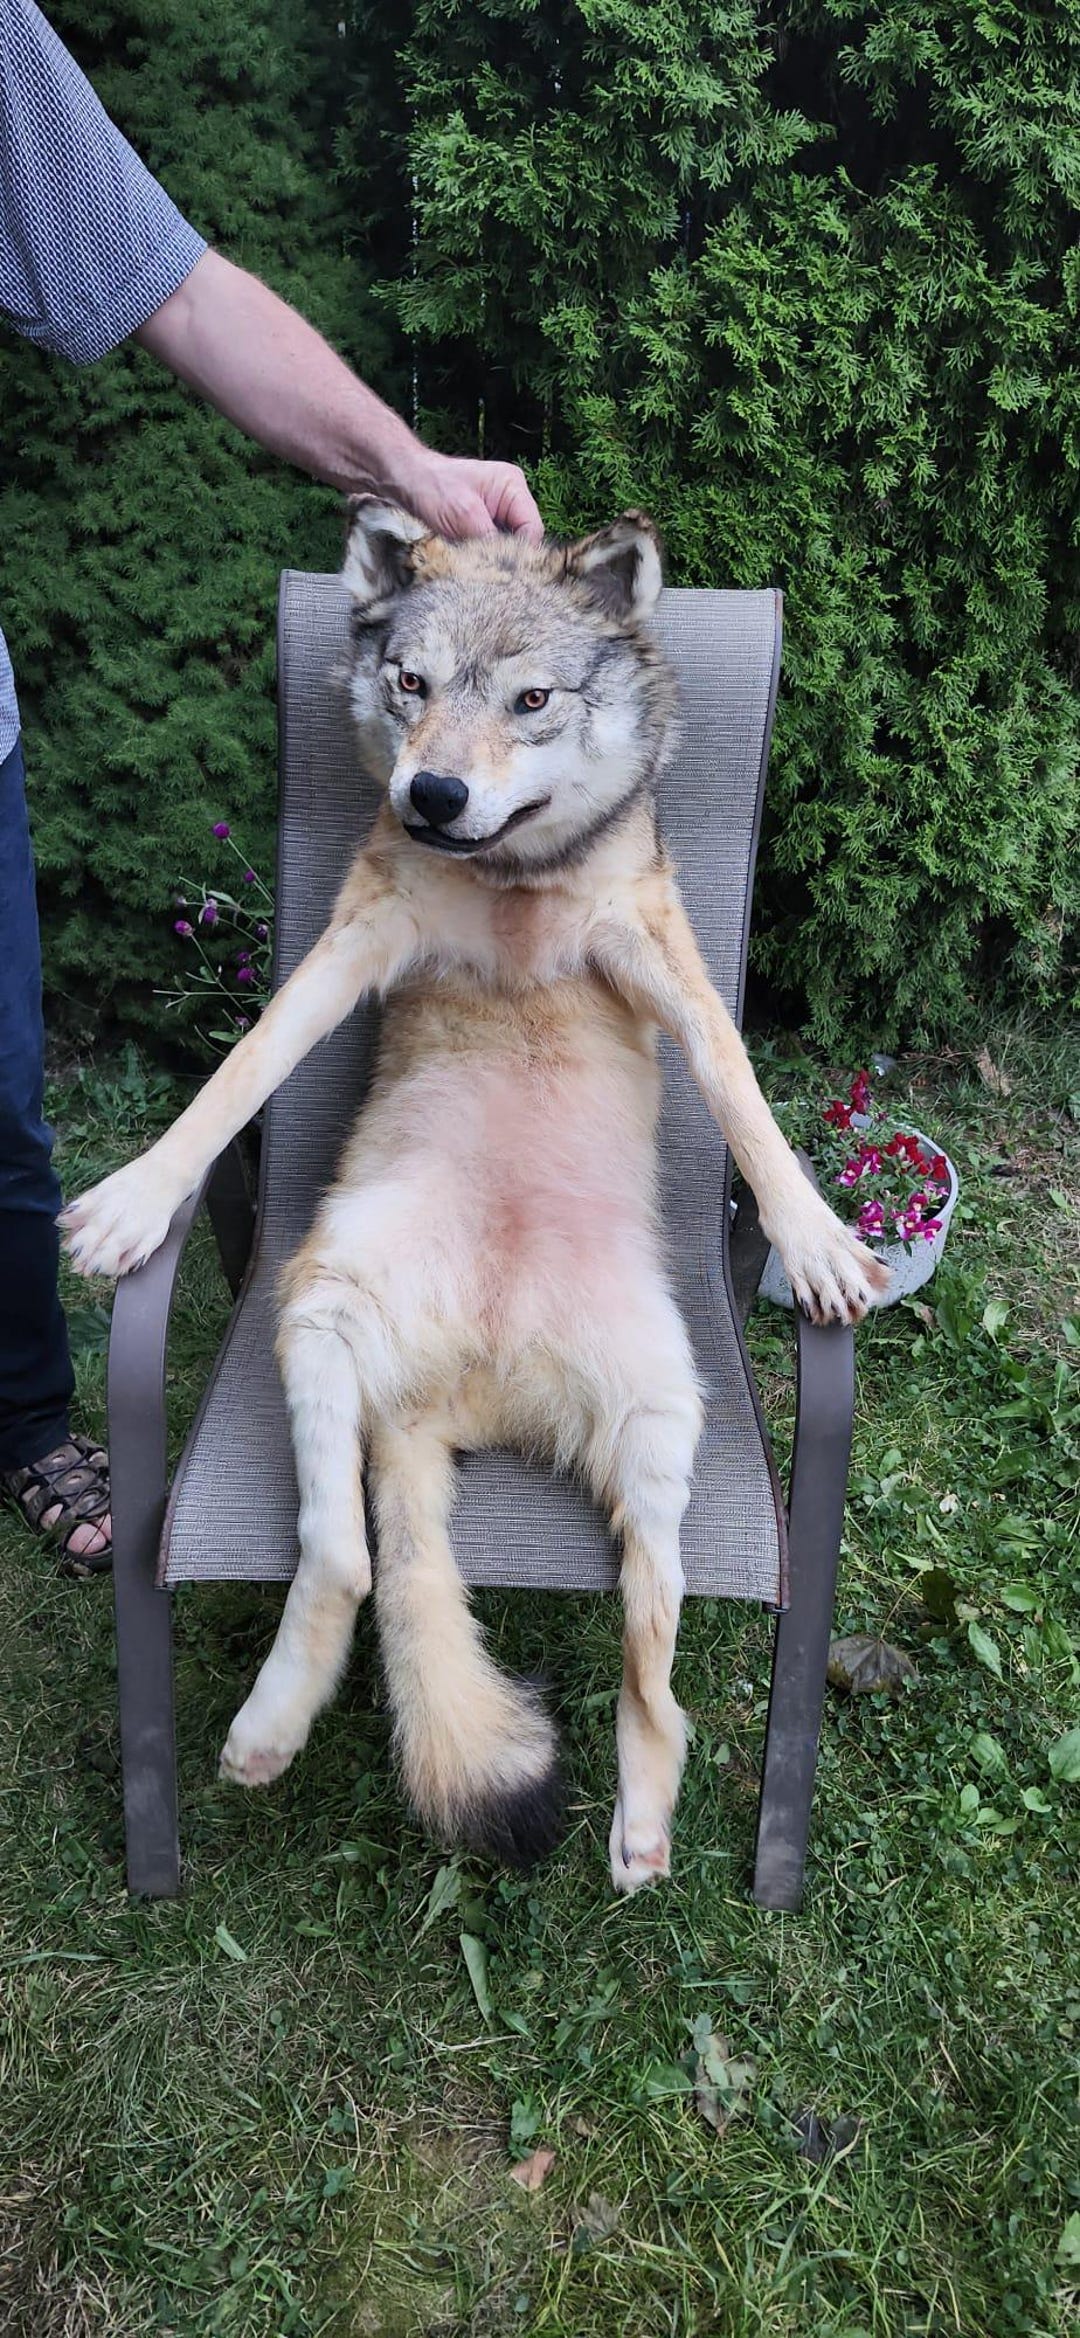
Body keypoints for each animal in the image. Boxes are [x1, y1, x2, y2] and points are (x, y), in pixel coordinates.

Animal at [62, 503, 889, 1892]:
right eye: (412, 684)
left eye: (532, 699)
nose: (432, 794)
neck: (511, 885)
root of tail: (466, 1392)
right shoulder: (350, 945)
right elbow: (238, 1073)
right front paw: (138, 1197)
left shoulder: (656, 952)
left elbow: (742, 1091)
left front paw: (817, 1238)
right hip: (321, 1305)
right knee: (346, 1557)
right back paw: (273, 1727)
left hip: (663, 1423)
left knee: (652, 1651)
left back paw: (643, 1825)